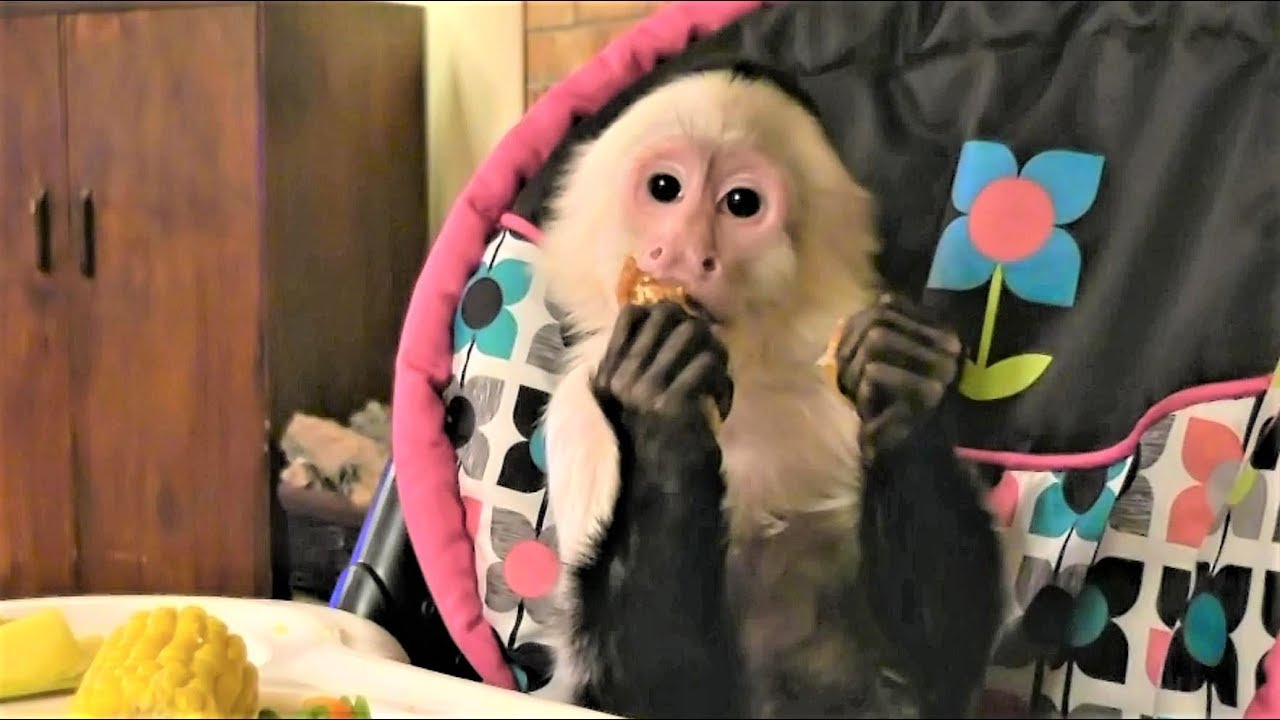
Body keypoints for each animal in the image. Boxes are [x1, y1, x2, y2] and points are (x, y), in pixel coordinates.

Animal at [533, 63, 1005, 720]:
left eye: (741, 203)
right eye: (664, 188)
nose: (687, 253)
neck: (747, 380)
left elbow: (943, 669)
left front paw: (903, 396)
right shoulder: (578, 418)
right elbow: (655, 694)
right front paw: (660, 412)